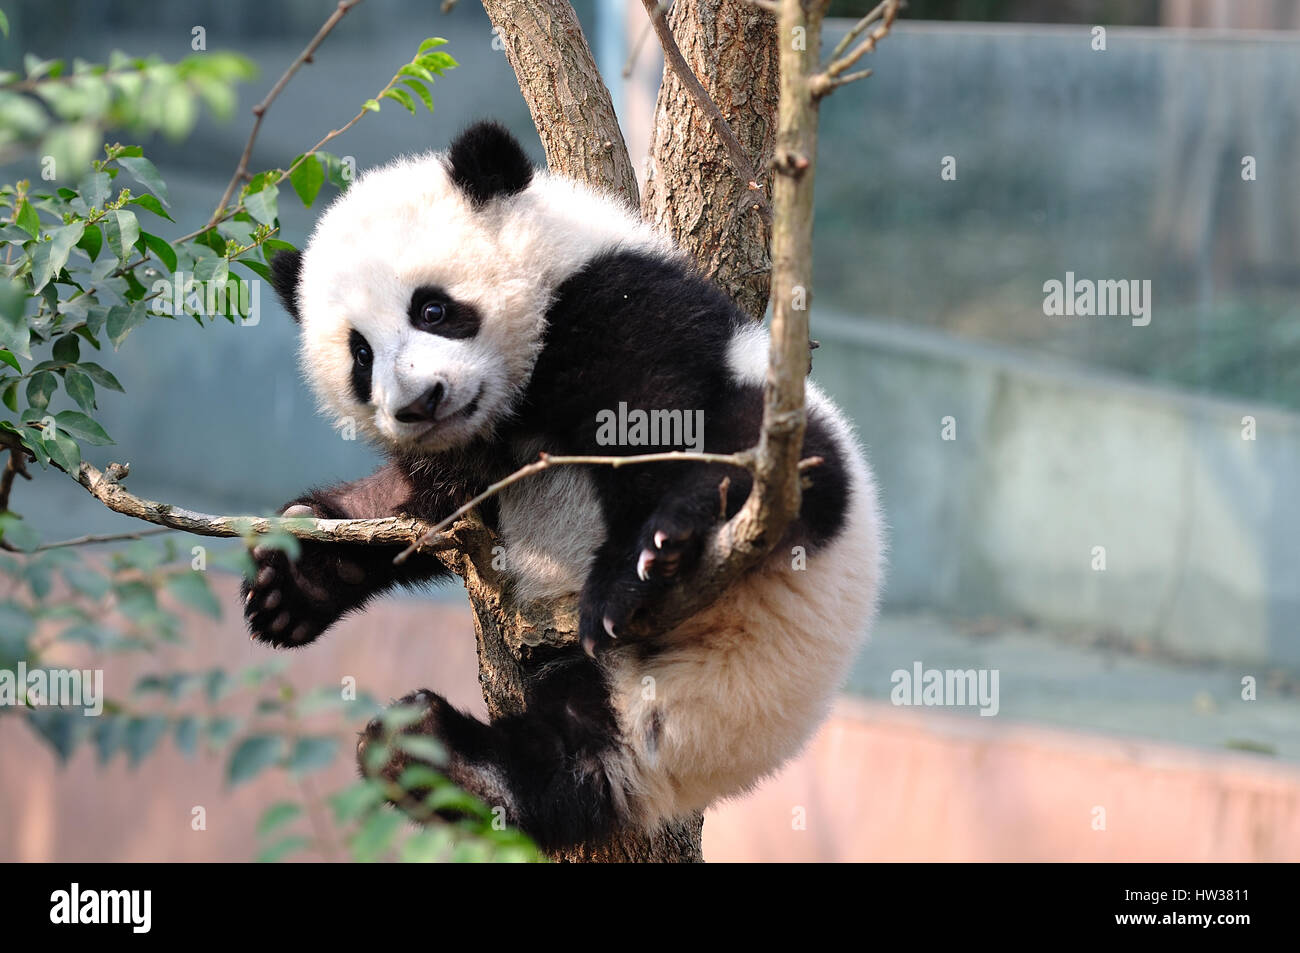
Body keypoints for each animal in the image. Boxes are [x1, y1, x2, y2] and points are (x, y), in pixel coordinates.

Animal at [248, 121, 884, 852]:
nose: (417, 403)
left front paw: (637, 563)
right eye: (360, 354)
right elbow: (422, 515)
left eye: (432, 308)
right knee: (565, 760)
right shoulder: (467, 461)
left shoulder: (616, 299)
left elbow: (656, 414)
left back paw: (669, 545)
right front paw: (293, 582)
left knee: (779, 463)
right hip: (600, 690)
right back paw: (432, 757)